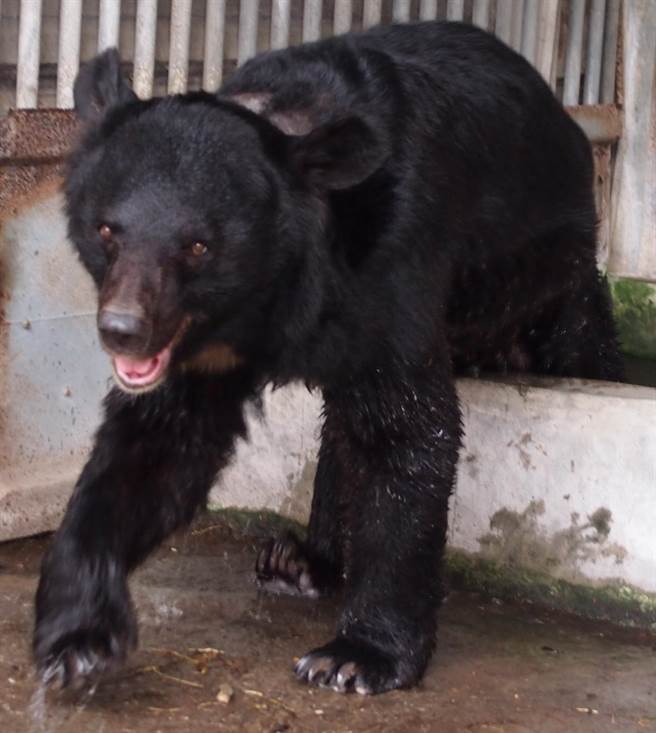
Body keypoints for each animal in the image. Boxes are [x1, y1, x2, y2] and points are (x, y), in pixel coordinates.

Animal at [33, 20, 622, 695]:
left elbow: (409, 430)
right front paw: (75, 639)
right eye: (107, 231)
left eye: (199, 246)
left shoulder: (393, 266)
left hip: (557, 275)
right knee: (340, 431)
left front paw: (356, 656)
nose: (124, 331)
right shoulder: (197, 345)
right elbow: (157, 445)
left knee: (580, 344)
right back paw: (297, 562)